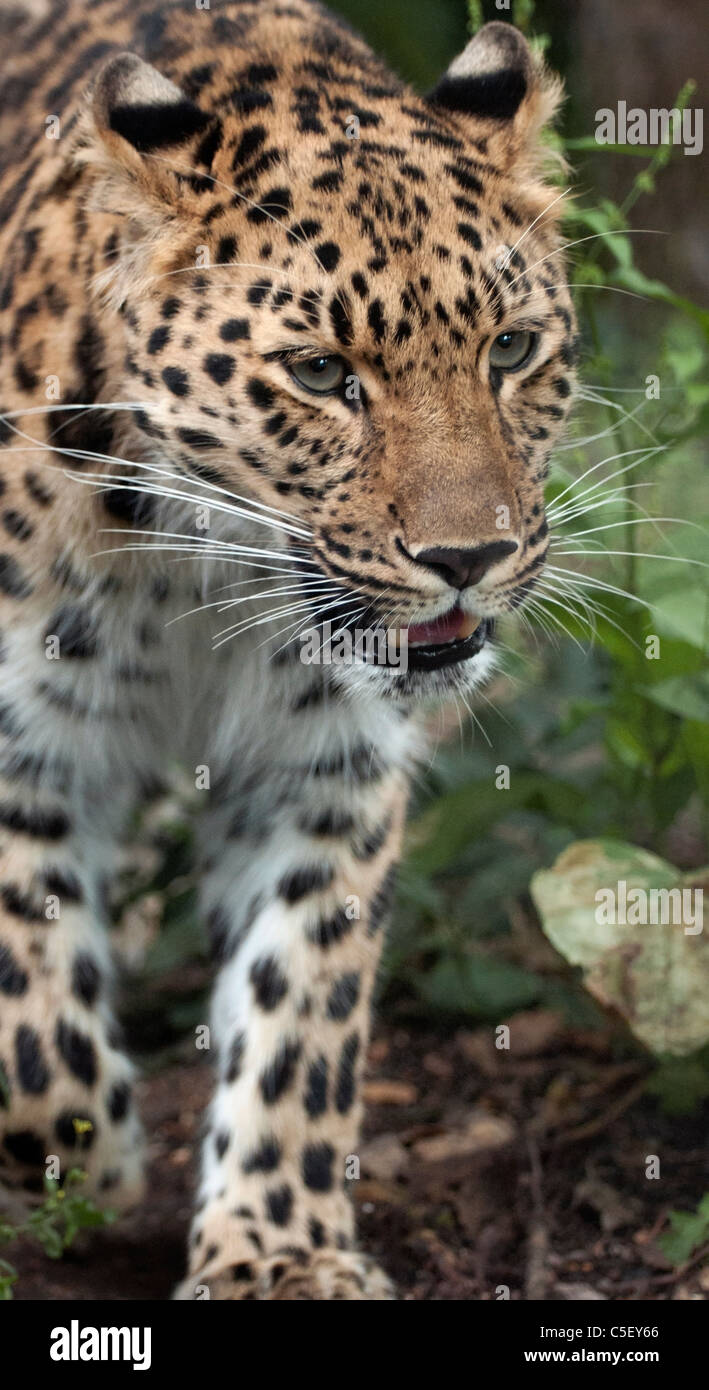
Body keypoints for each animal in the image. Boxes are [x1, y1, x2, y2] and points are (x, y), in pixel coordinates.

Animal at [0, 0, 578, 1300]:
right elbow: (29, 1001)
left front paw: (277, 1247)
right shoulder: (19, 738)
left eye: (510, 350)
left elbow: (300, 1002)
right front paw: (92, 1151)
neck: (207, 579)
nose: (470, 555)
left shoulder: (321, 771)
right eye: (322, 374)